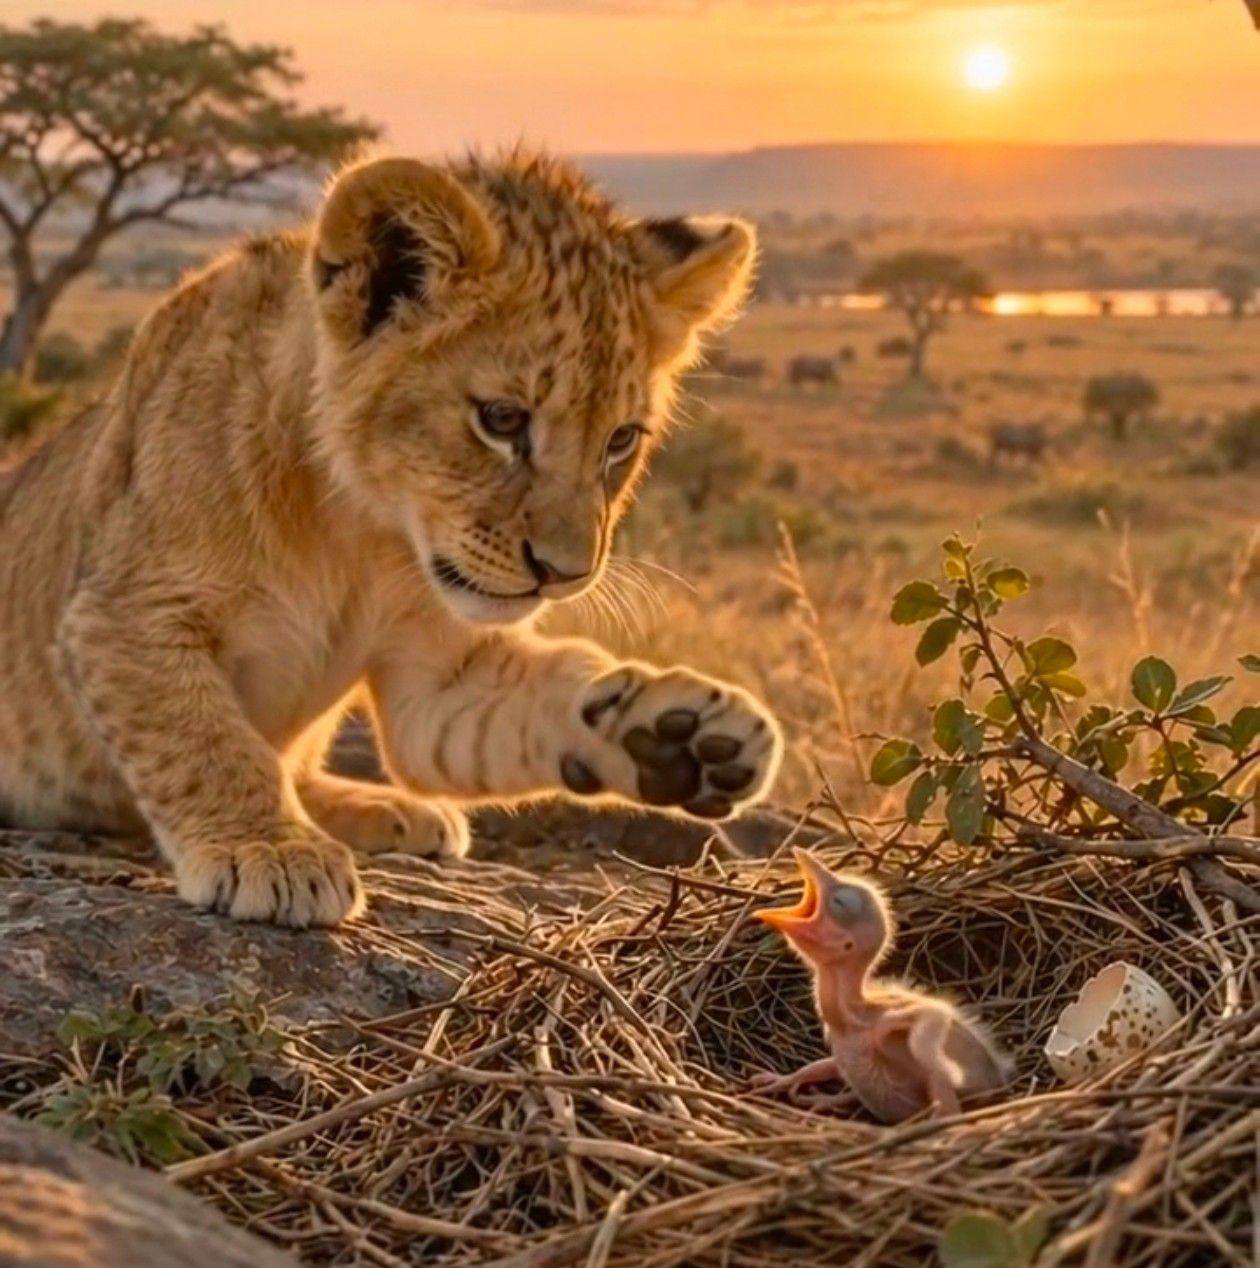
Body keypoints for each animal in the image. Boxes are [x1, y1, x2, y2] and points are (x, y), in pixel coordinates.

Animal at [0, 151, 783, 927]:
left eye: (621, 439)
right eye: (501, 419)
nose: (565, 574)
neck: (359, 528)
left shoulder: (437, 677)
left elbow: (546, 690)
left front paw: (678, 735)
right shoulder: (121, 613)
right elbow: (202, 738)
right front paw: (271, 850)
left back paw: (396, 809)